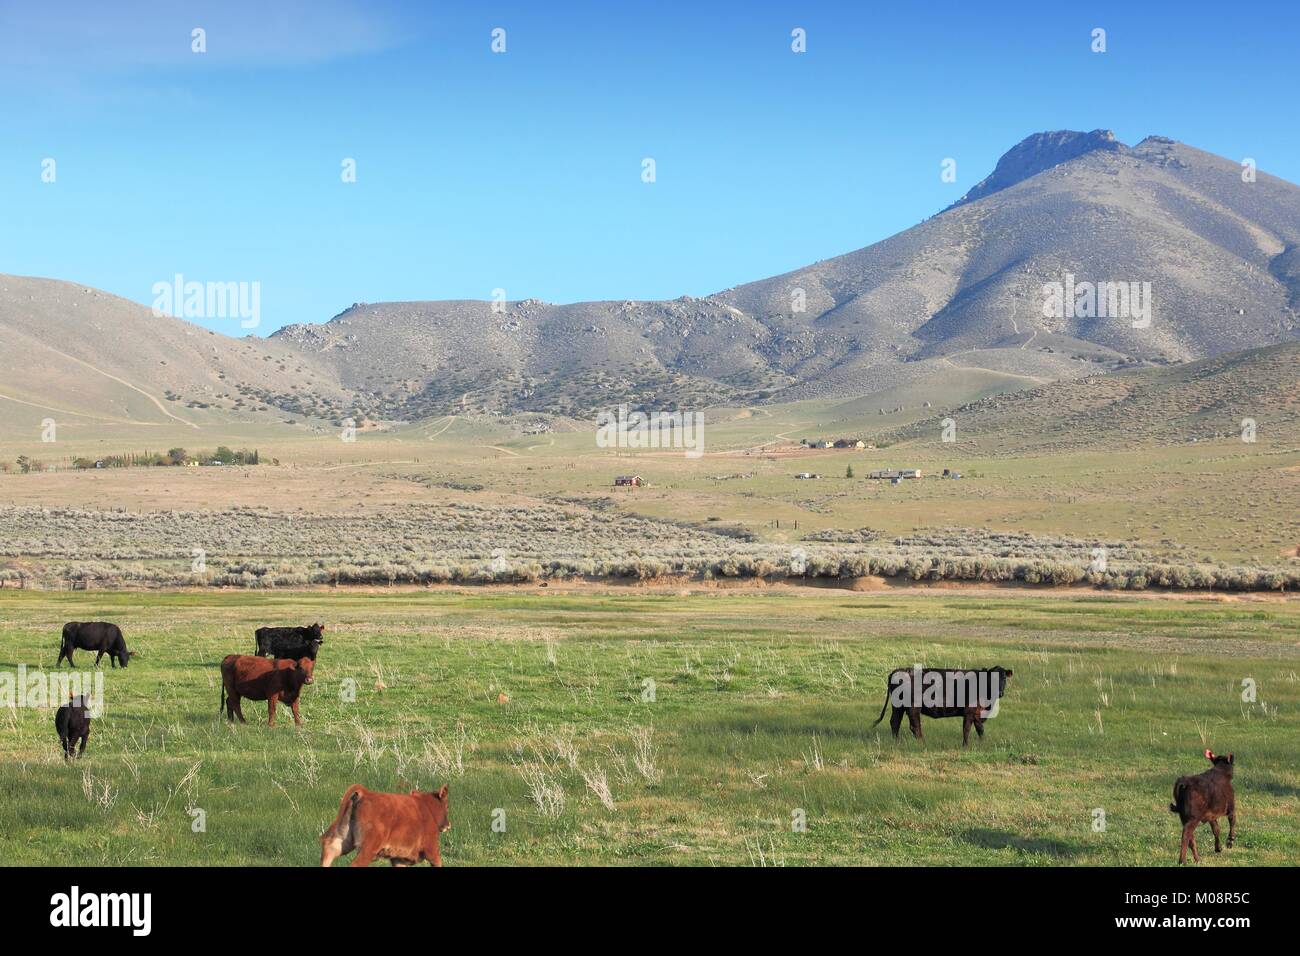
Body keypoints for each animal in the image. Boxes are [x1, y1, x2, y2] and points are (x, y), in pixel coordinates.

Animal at [320, 784, 452, 867]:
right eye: (447, 806)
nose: (448, 825)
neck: (427, 807)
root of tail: (365, 793)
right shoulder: (432, 850)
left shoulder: (399, 858)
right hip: (367, 849)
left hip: (344, 841)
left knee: (329, 850)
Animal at [871, 666, 1013, 746]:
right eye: (991, 678)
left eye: (1004, 678)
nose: (1000, 692)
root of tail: (899, 670)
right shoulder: (969, 712)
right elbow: (966, 729)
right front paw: (965, 746)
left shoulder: (977, 713)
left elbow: (980, 729)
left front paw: (982, 743)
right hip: (913, 707)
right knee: (914, 726)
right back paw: (922, 743)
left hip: (898, 707)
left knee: (895, 722)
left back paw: (897, 742)